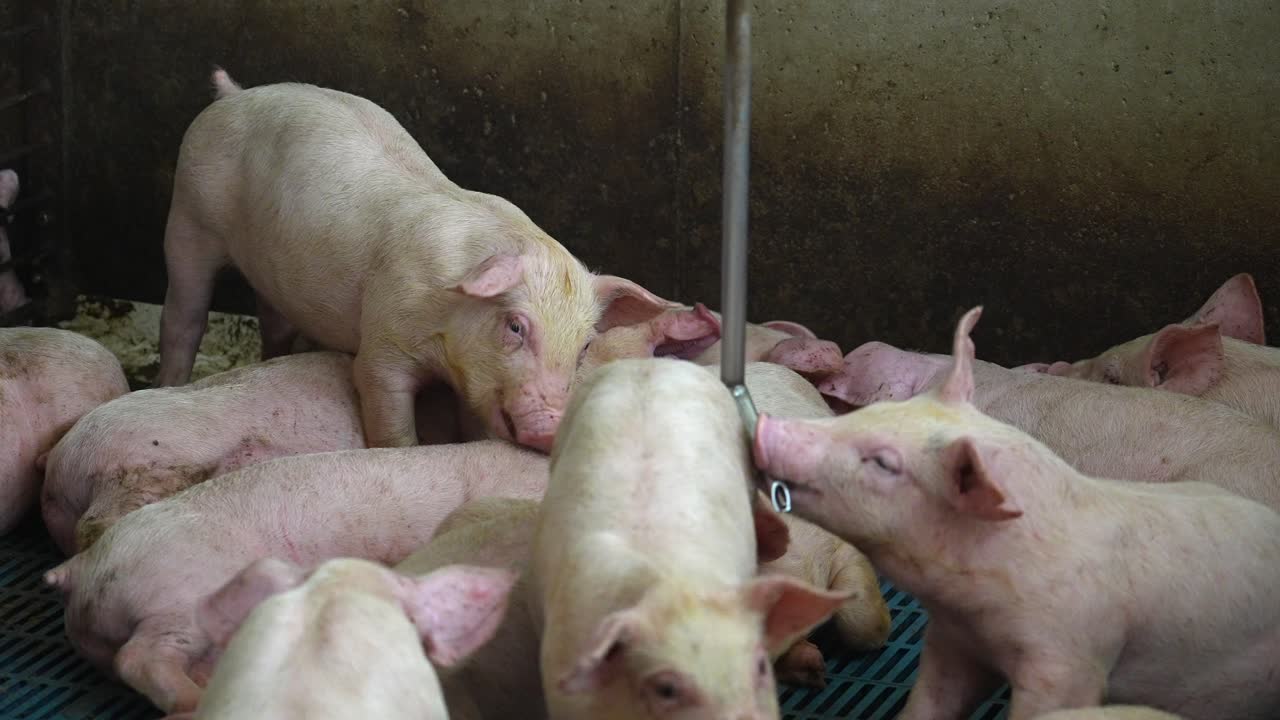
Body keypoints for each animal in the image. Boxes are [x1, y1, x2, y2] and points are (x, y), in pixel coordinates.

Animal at [155, 68, 671, 452]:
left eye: (584, 347)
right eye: (515, 326)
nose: (550, 427)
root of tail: (236, 94)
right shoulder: (383, 342)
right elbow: (387, 413)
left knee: (274, 322)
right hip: (188, 217)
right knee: (183, 317)